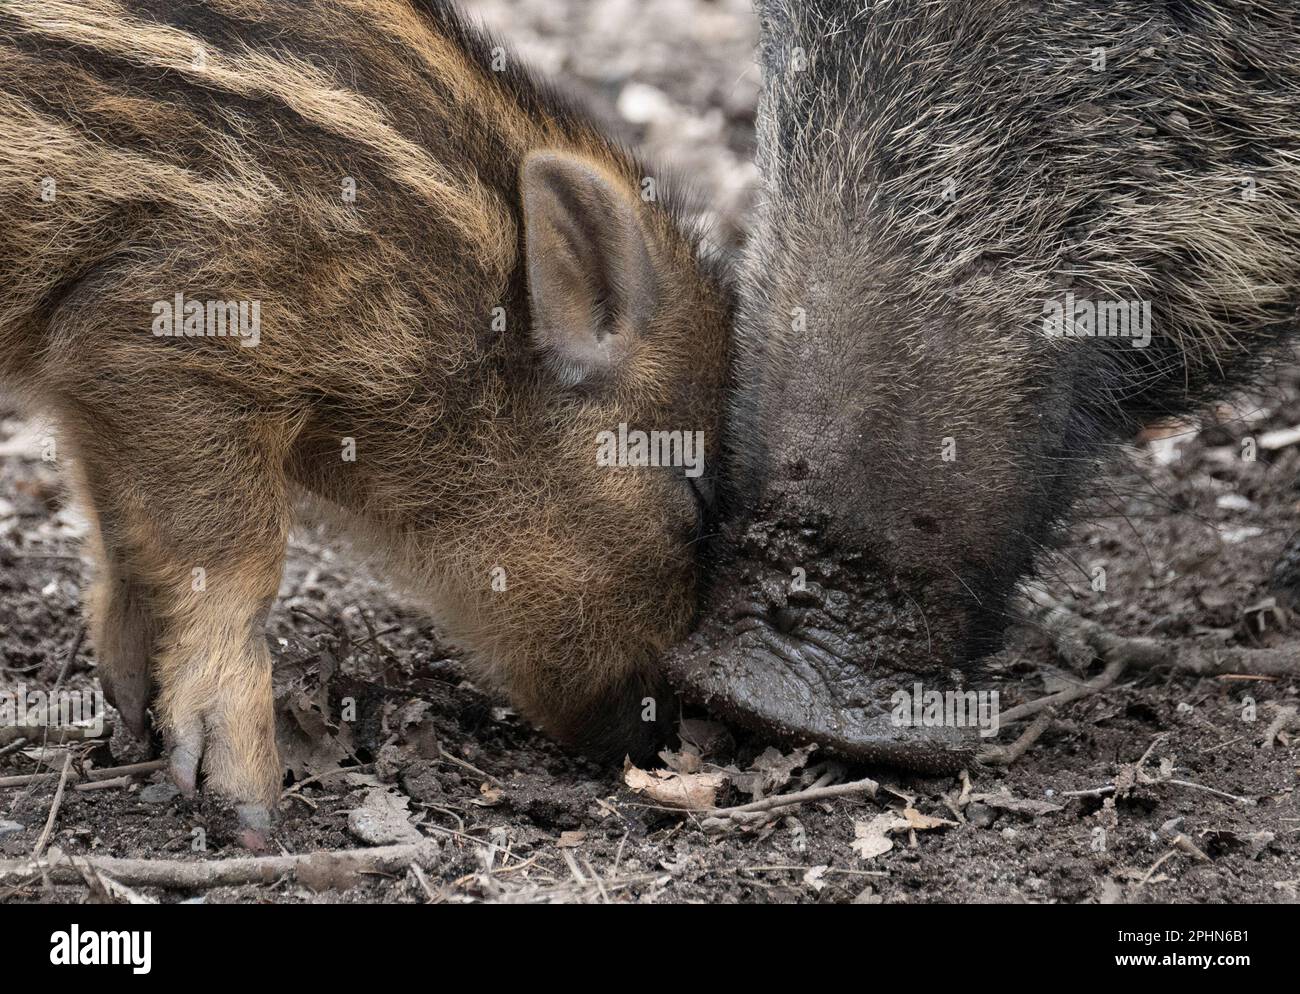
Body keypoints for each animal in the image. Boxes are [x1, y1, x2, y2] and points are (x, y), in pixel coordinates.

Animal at [0, 0, 732, 832]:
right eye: (693, 490)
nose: (661, 733)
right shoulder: (166, 335)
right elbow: (236, 561)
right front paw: (248, 806)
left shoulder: (96, 381)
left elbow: (123, 535)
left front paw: (132, 720)